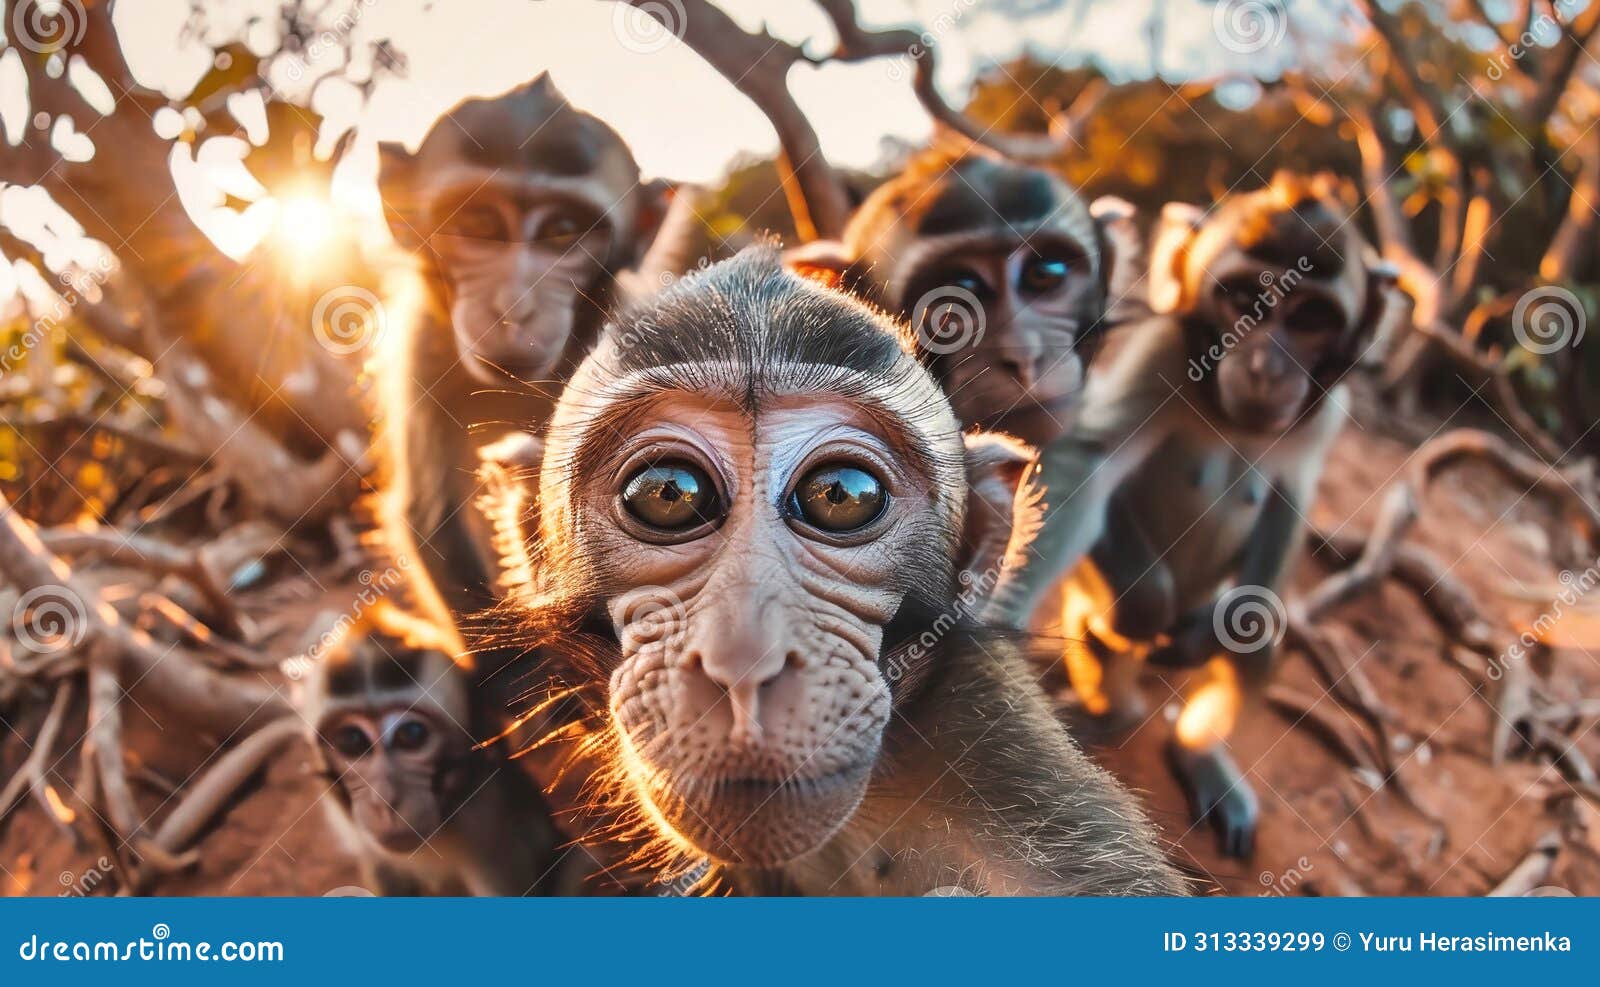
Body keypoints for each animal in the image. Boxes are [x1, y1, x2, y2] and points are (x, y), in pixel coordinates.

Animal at [982, 173, 1401, 858]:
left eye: (1311, 317)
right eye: (1242, 299)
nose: (1265, 368)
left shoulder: (1327, 410)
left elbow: (1288, 502)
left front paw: (1239, 622)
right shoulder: (1160, 353)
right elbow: (1089, 466)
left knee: (1251, 649)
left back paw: (1200, 750)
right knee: (1106, 630)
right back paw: (1113, 708)